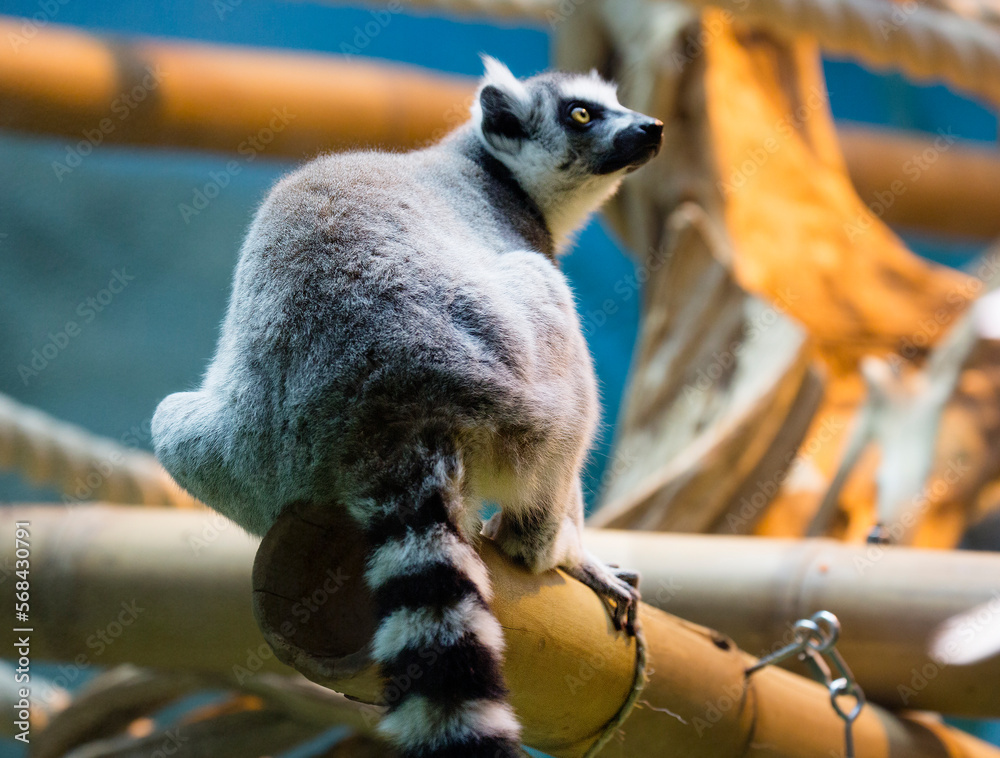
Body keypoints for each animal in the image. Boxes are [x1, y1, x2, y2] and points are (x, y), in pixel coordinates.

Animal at [152, 57, 662, 758]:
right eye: (581, 114)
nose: (651, 129)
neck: (489, 166)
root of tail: (378, 403)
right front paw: (579, 551)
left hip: (245, 463)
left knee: (172, 424)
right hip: (515, 392)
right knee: (546, 307)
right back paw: (549, 548)